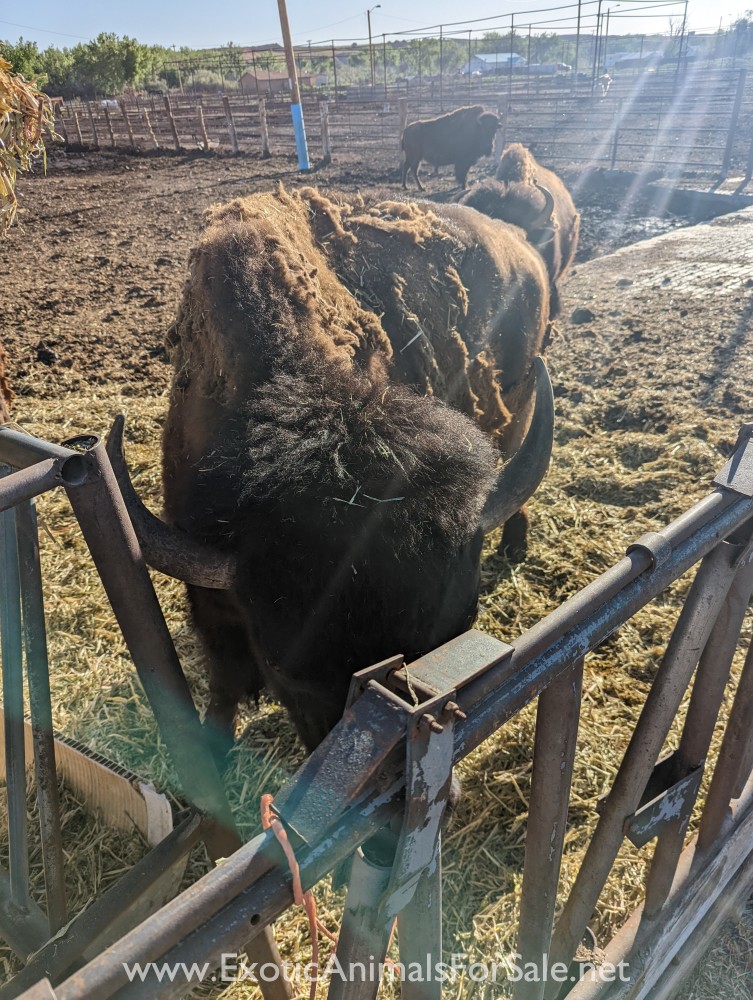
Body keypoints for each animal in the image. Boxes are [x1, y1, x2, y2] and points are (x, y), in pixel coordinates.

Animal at [108, 185, 554, 759]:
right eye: (285, 670)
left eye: (463, 629)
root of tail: (518, 241)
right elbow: (224, 681)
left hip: (517, 410)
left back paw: (516, 544)